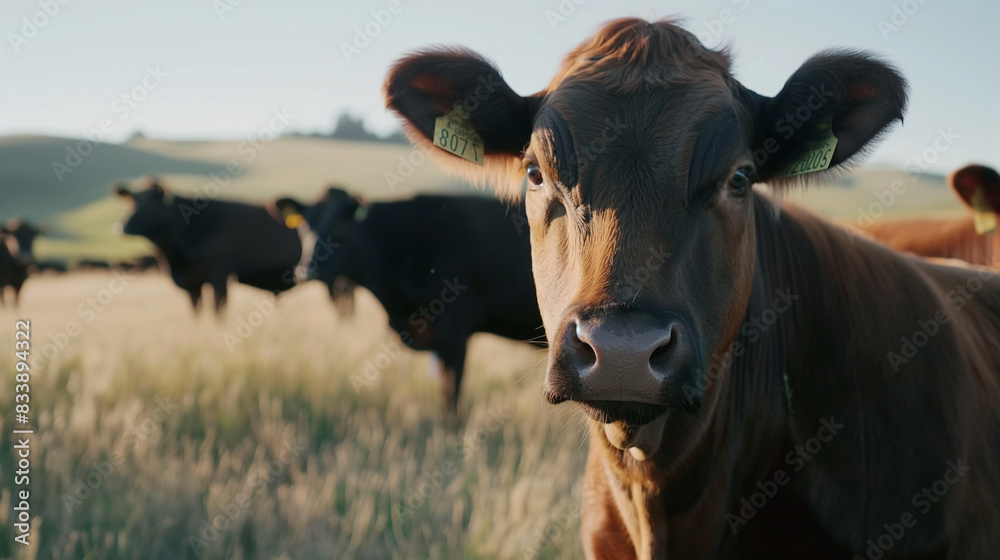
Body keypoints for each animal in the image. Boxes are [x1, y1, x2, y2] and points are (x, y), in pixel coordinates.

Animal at [115, 177, 301, 313]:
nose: (121, 227)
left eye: (150, 205)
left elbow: (218, 311)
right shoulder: (192, 284)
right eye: (132, 202)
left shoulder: (219, 275)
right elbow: (196, 312)